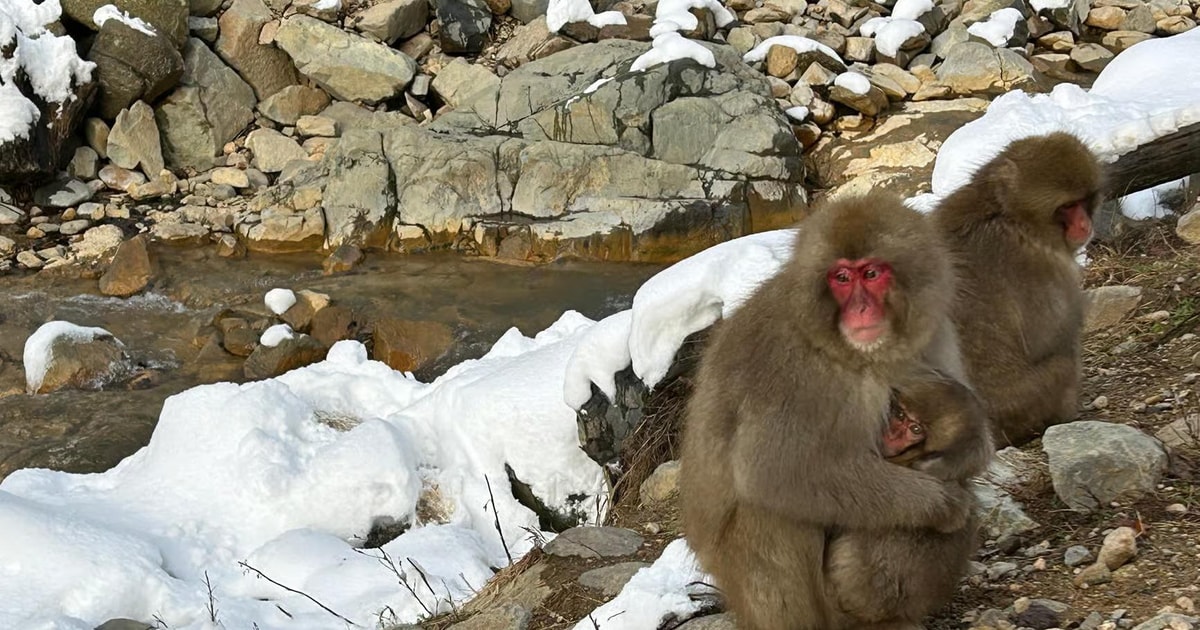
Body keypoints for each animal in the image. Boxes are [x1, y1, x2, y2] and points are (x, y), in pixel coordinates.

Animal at [679, 191, 979, 630]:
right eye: (841, 278)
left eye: (871, 273)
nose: (860, 309)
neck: (849, 351)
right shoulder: (787, 366)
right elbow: (774, 470)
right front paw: (940, 503)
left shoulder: (933, 332)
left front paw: (952, 465)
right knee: (769, 511)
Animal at [930, 131, 1105, 447]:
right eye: (1066, 207)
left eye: (1083, 201)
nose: (1084, 224)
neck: (1005, 213)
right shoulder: (1040, 264)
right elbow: (1048, 339)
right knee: (1064, 362)